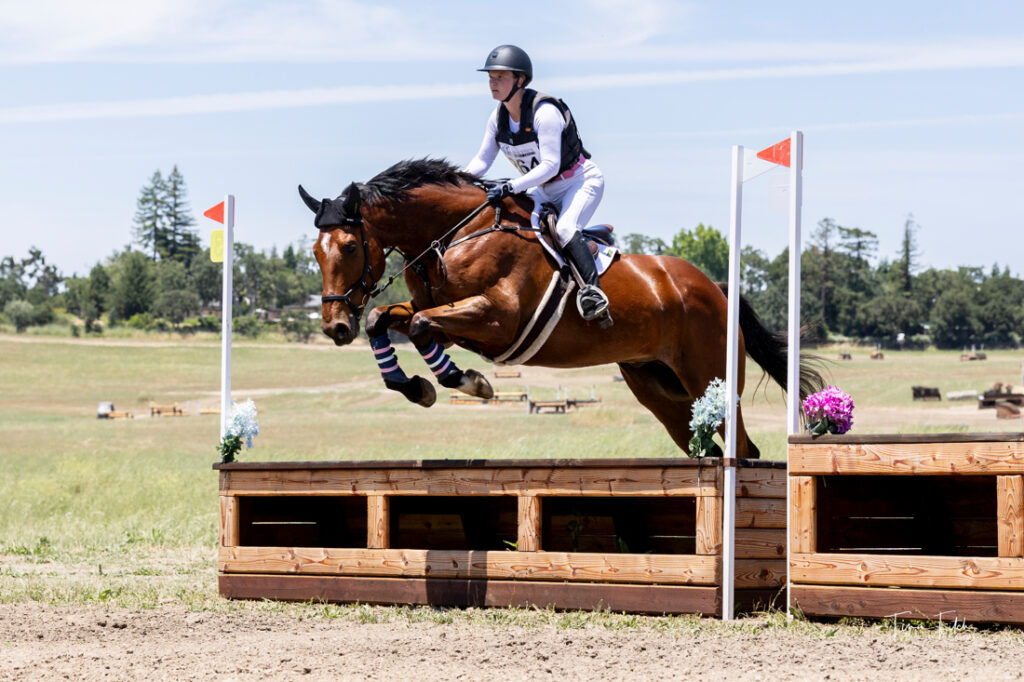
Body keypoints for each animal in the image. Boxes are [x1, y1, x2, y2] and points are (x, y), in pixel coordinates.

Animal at [299, 158, 823, 459]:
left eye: (349, 246)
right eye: (316, 252)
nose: (334, 326)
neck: (455, 235)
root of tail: (715, 286)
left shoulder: (498, 319)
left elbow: (425, 325)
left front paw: (468, 382)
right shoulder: (451, 316)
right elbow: (386, 320)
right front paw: (416, 387)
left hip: (709, 380)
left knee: (741, 446)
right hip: (658, 389)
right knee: (705, 447)